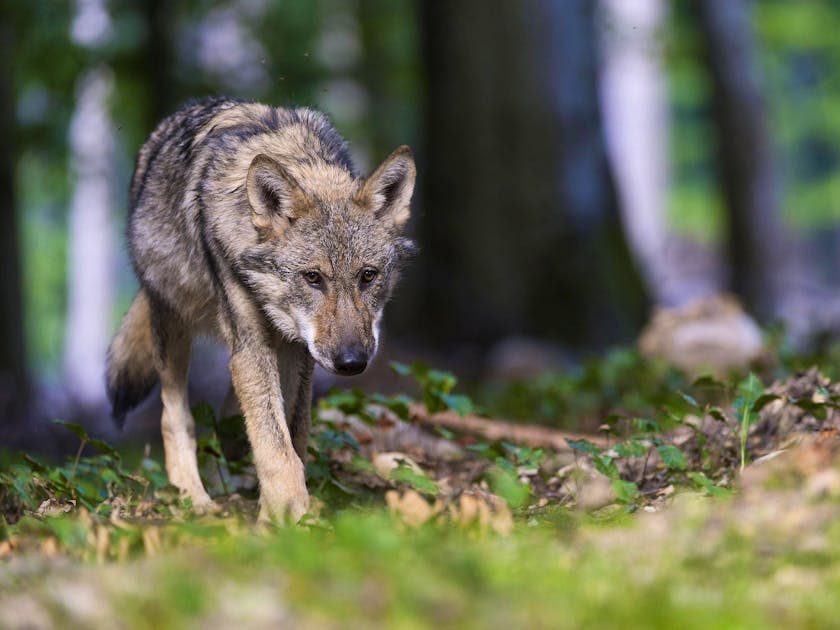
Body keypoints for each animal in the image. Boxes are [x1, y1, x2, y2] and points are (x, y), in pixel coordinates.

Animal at [106, 97, 416, 521]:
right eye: (313, 278)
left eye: (368, 276)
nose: (352, 362)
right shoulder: (252, 341)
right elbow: (276, 447)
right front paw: (289, 517)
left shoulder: (299, 350)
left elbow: (292, 435)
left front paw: (282, 510)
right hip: (173, 324)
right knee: (175, 416)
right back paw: (194, 499)